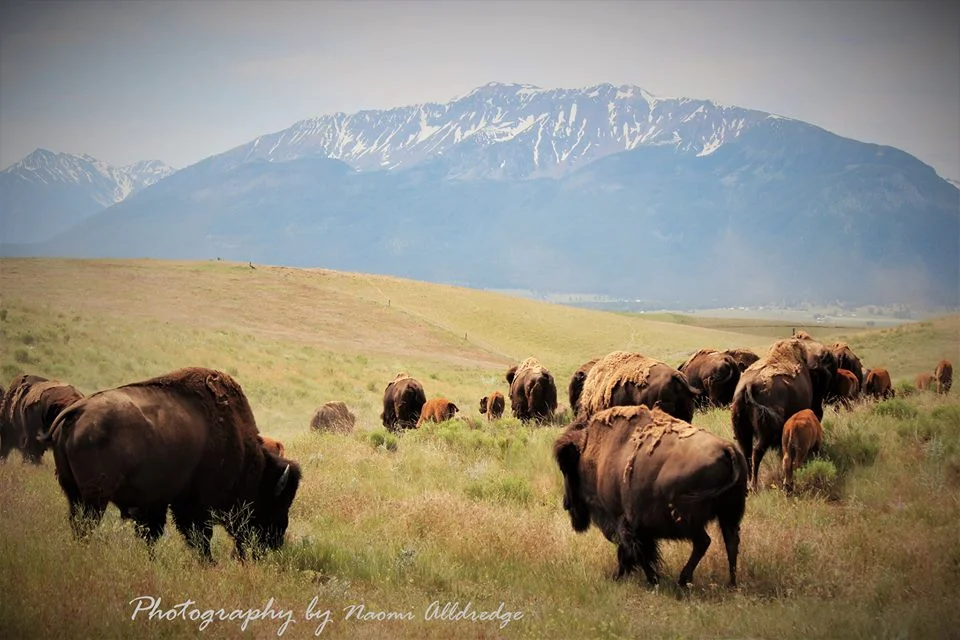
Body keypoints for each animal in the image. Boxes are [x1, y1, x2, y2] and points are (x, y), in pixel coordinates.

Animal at [44, 367, 302, 560]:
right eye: (274, 501)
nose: (276, 539)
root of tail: (79, 410)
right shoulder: (193, 506)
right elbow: (199, 538)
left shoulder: (156, 503)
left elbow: (151, 534)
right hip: (95, 498)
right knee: (86, 525)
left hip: (73, 492)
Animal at [554, 405, 747, 587]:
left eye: (565, 468)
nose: (565, 503)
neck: (594, 457)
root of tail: (727, 448)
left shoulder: (622, 521)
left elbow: (635, 553)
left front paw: (649, 579)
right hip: (728, 515)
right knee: (730, 542)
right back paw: (730, 583)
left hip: (688, 520)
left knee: (703, 542)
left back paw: (683, 580)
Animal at [731, 338, 837, 491]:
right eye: (826, 378)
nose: (819, 412)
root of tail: (749, 386)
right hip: (765, 434)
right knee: (756, 453)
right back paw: (754, 486)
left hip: (742, 432)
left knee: (747, 454)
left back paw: (749, 485)